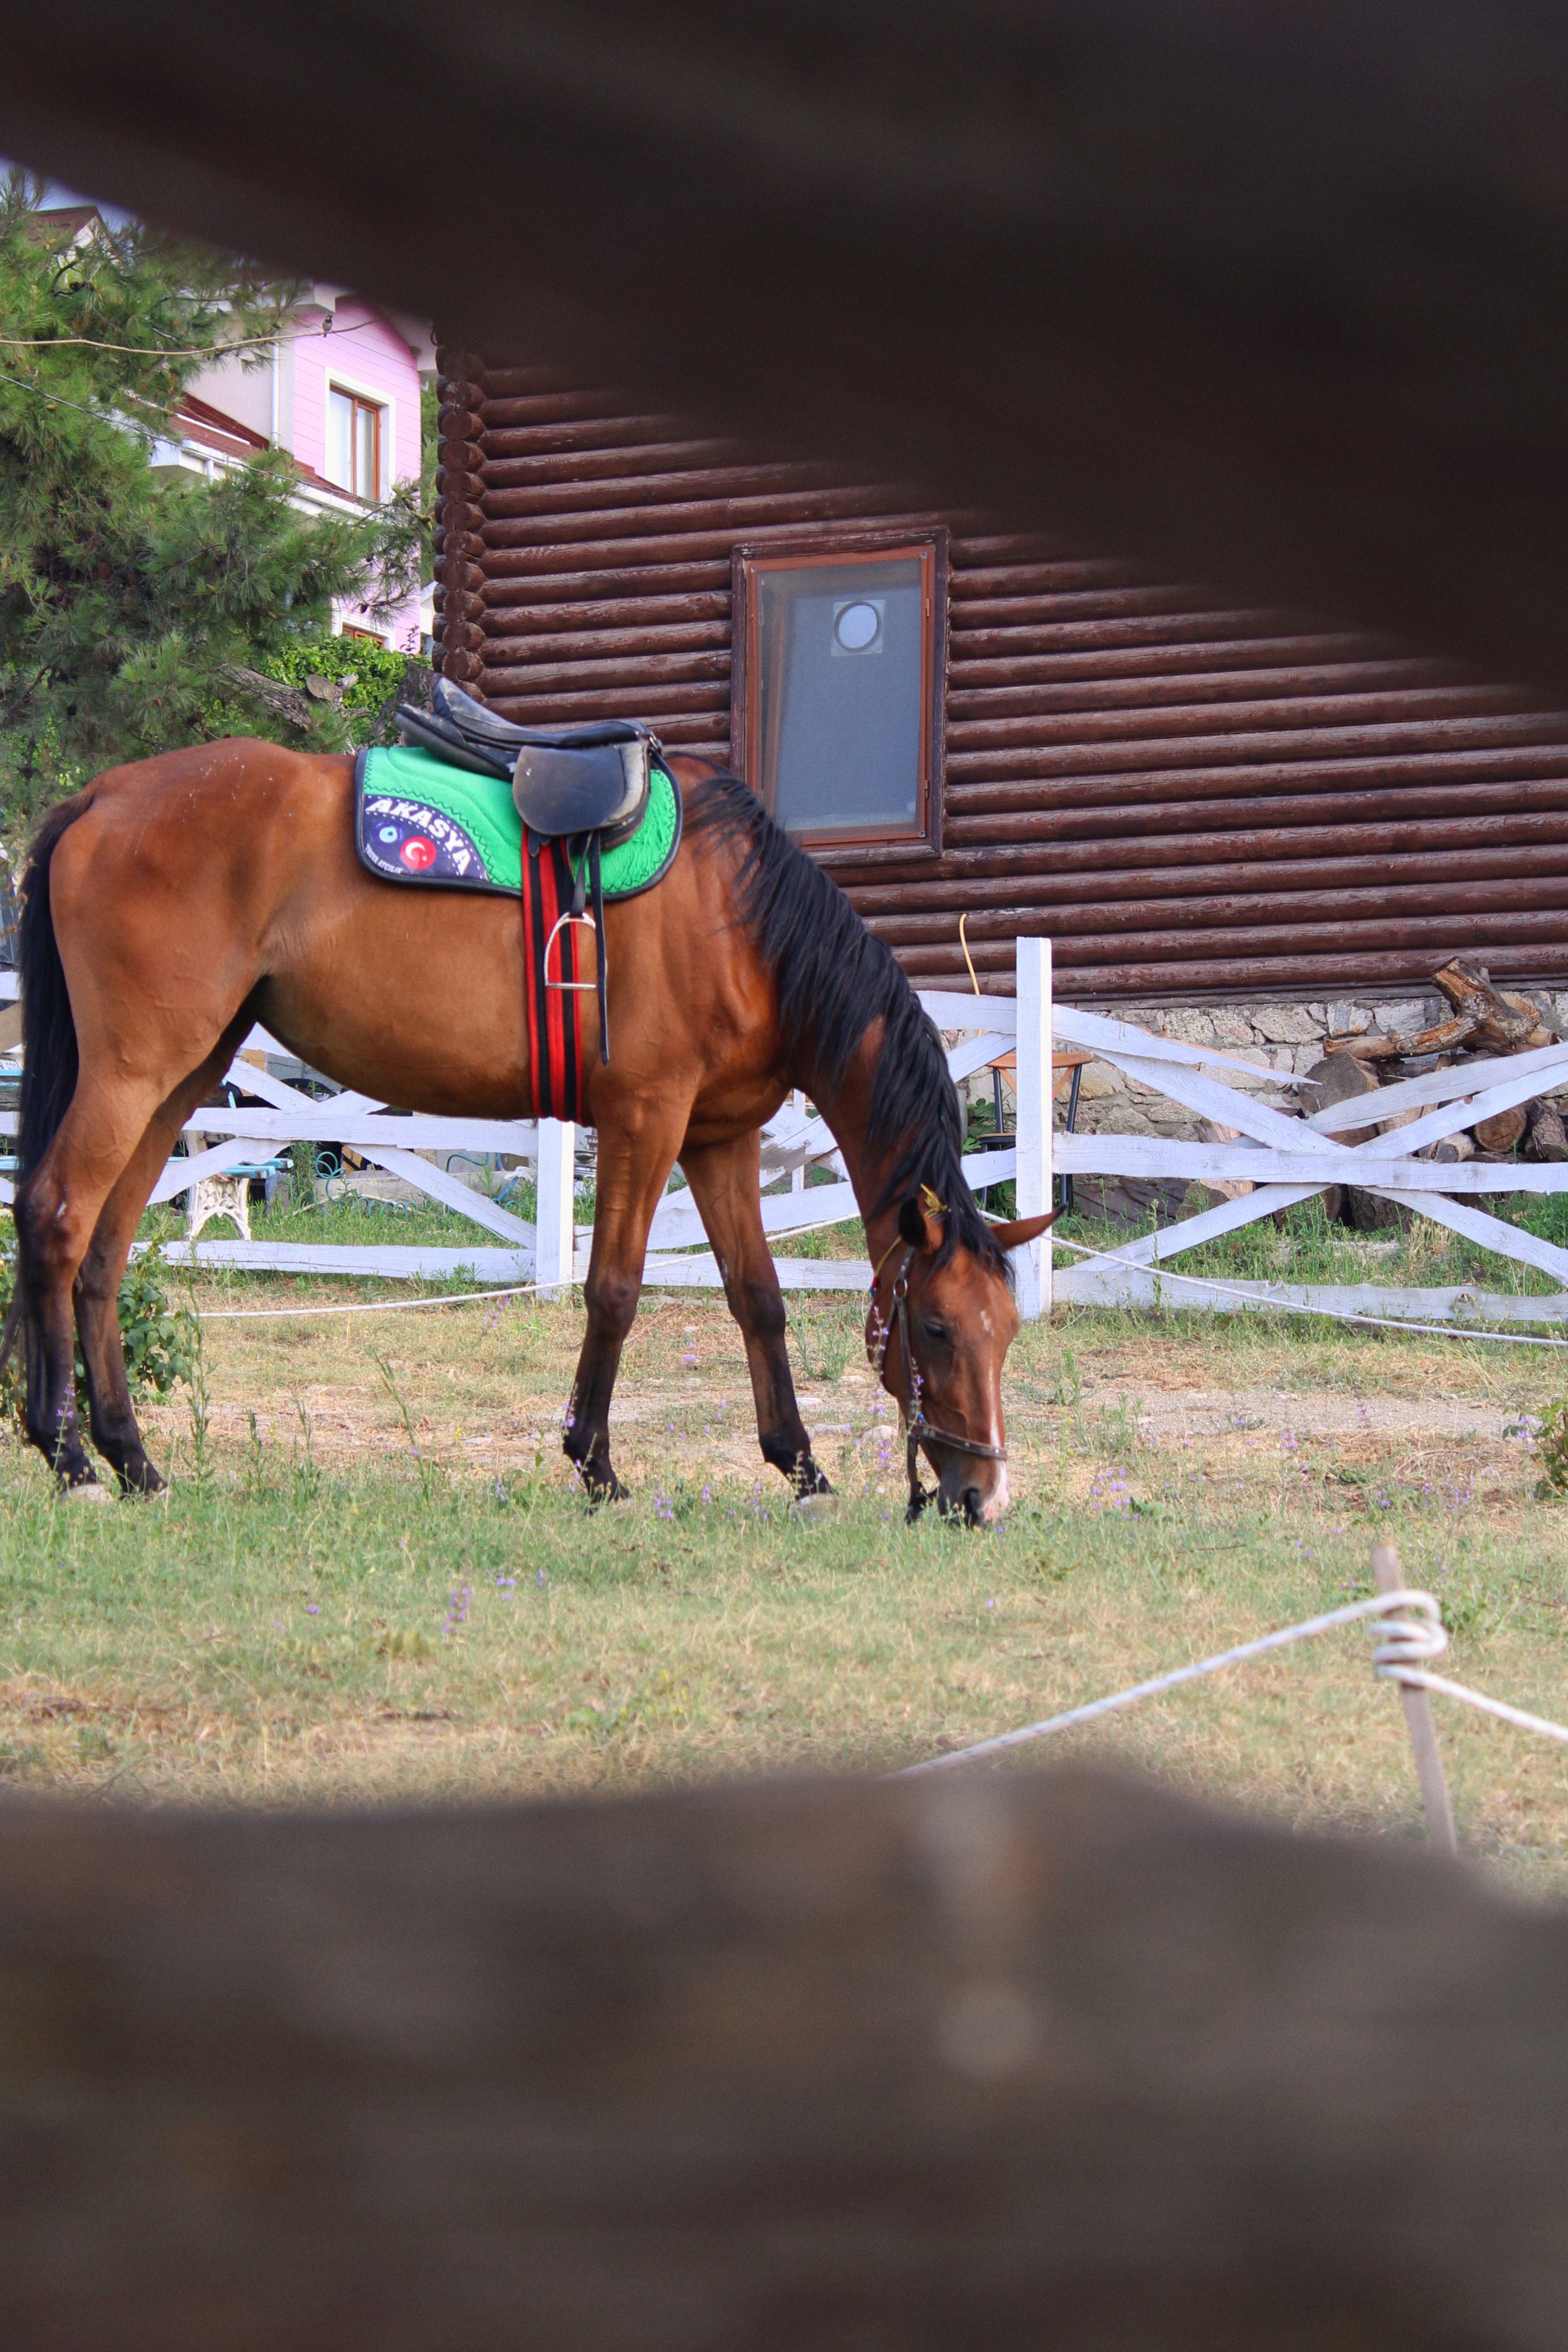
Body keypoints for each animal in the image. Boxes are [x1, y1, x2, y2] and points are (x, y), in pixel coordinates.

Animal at [6, 740, 1052, 1520]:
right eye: (935, 1327)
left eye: (1004, 1332)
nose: (979, 1497)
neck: (743, 923)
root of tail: (100, 795)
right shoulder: (645, 1117)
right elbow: (615, 1290)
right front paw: (596, 1466)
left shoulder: (719, 1138)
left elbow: (757, 1297)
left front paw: (800, 1466)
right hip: (135, 1071)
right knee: (56, 1217)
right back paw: (69, 1457)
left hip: (180, 1078)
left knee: (105, 1252)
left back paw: (132, 1458)